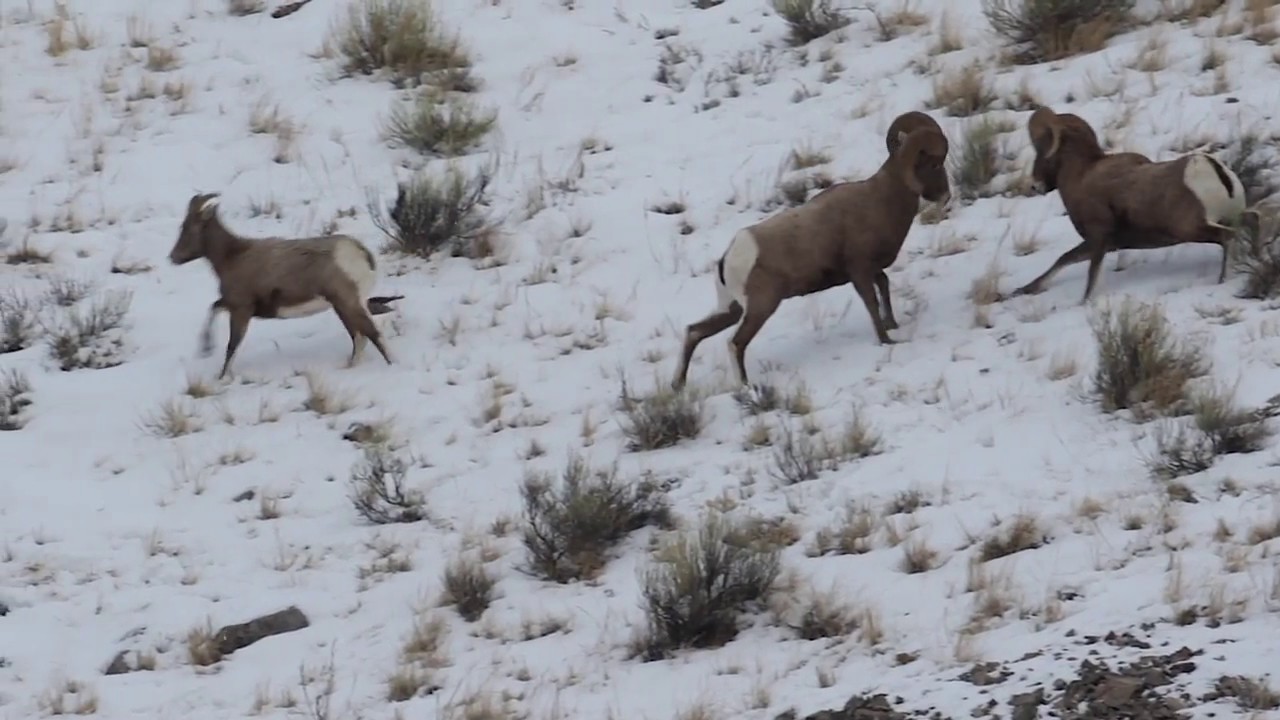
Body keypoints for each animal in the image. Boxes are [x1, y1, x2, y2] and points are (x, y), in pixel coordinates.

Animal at [168, 192, 401, 378]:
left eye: (187, 227)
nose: (173, 258)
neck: (233, 256)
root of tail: (359, 252)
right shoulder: (232, 305)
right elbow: (214, 308)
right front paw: (206, 349)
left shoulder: (241, 310)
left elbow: (231, 346)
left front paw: (221, 377)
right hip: (344, 306)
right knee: (359, 338)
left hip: (347, 303)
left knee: (372, 334)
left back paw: (392, 365)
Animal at [671, 112, 951, 390]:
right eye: (934, 165)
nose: (946, 196)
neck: (882, 199)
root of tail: (730, 256)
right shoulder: (860, 271)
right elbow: (871, 302)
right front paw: (886, 340)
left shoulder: (872, 270)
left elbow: (884, 286)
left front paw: (892, 325)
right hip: (760, 307)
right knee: (735, 343)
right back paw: (746, 387)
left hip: (731, 308)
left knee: (694, 331)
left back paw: (678, 385)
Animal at [1001, 106, 1258, 303]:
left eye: (1041, 145)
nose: (1034, 186)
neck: (1081, 176)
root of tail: (1209, 167)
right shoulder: (1105, 244)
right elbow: (1063, 259)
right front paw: (1026, 290)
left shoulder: (1099, 240)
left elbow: (1090, 276)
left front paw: (1084, 303)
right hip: (1230, 216)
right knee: (1252, 221)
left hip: (1191, 228)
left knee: (1227, 237)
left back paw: (1223, 279)